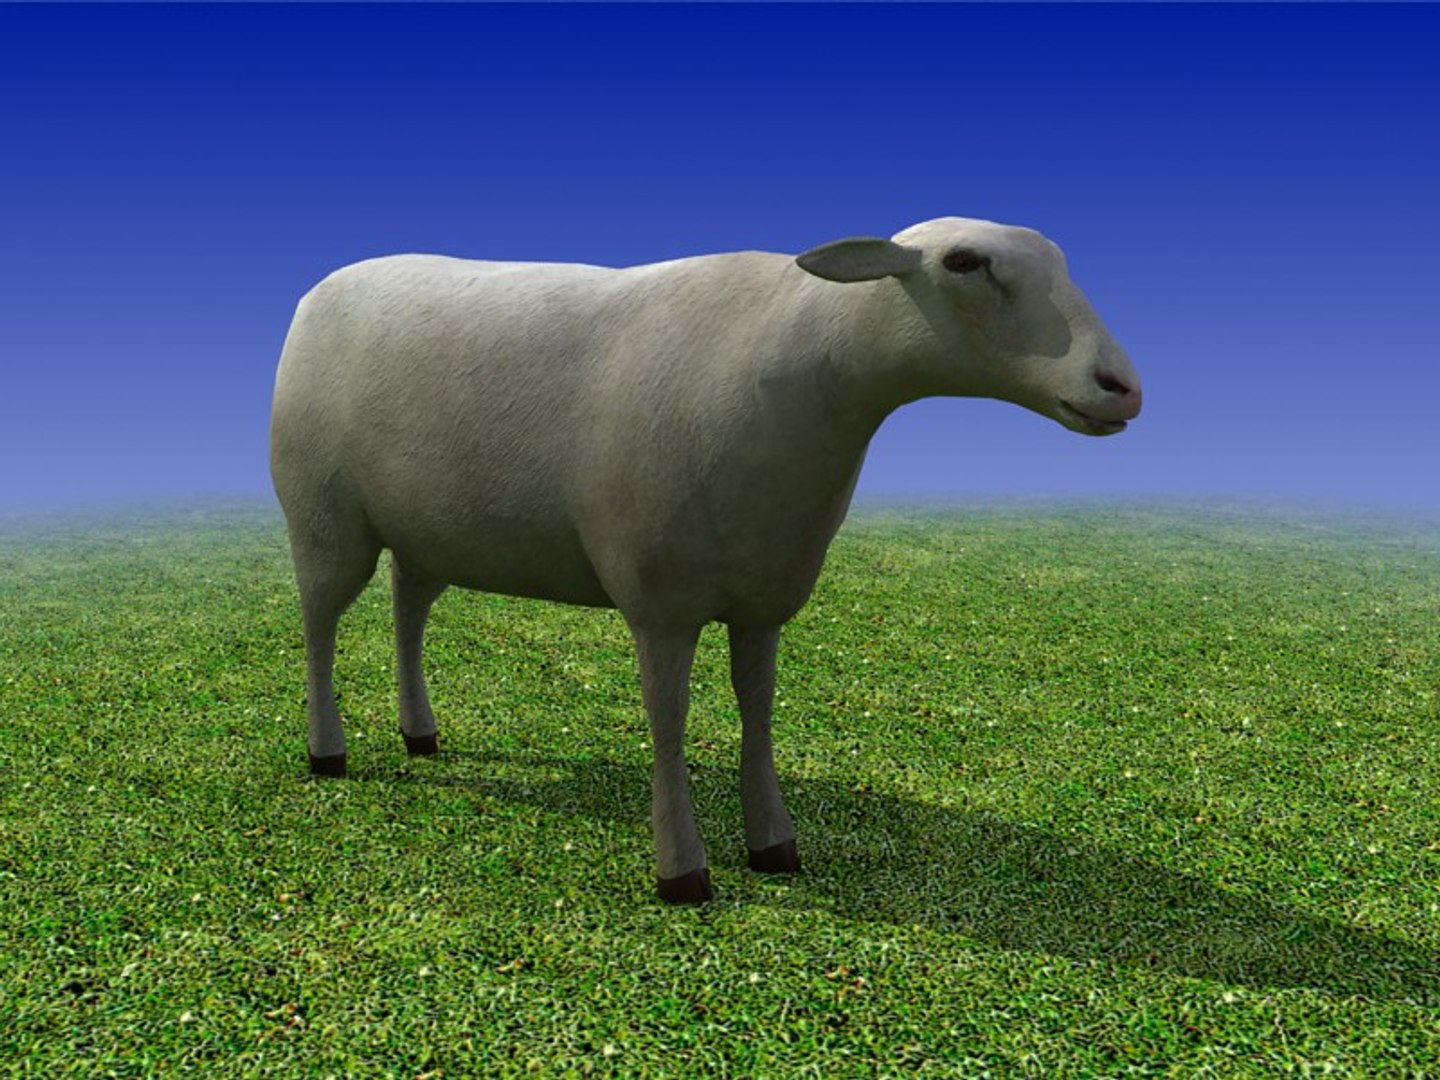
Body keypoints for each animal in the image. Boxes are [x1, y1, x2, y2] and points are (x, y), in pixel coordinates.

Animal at [269, 216, 1142, 903]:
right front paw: (681, 872)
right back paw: (328, 752)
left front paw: (774, 845)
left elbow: (758, 711)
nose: (1122, 388)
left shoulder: (764, 596)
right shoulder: (661, 600)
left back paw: (421, 734)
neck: (799, 368)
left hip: (424, 529)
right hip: (324, 519)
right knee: (318, 625)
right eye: (965, 263)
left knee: (408, 610)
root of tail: (323, 287)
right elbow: (670, 719)